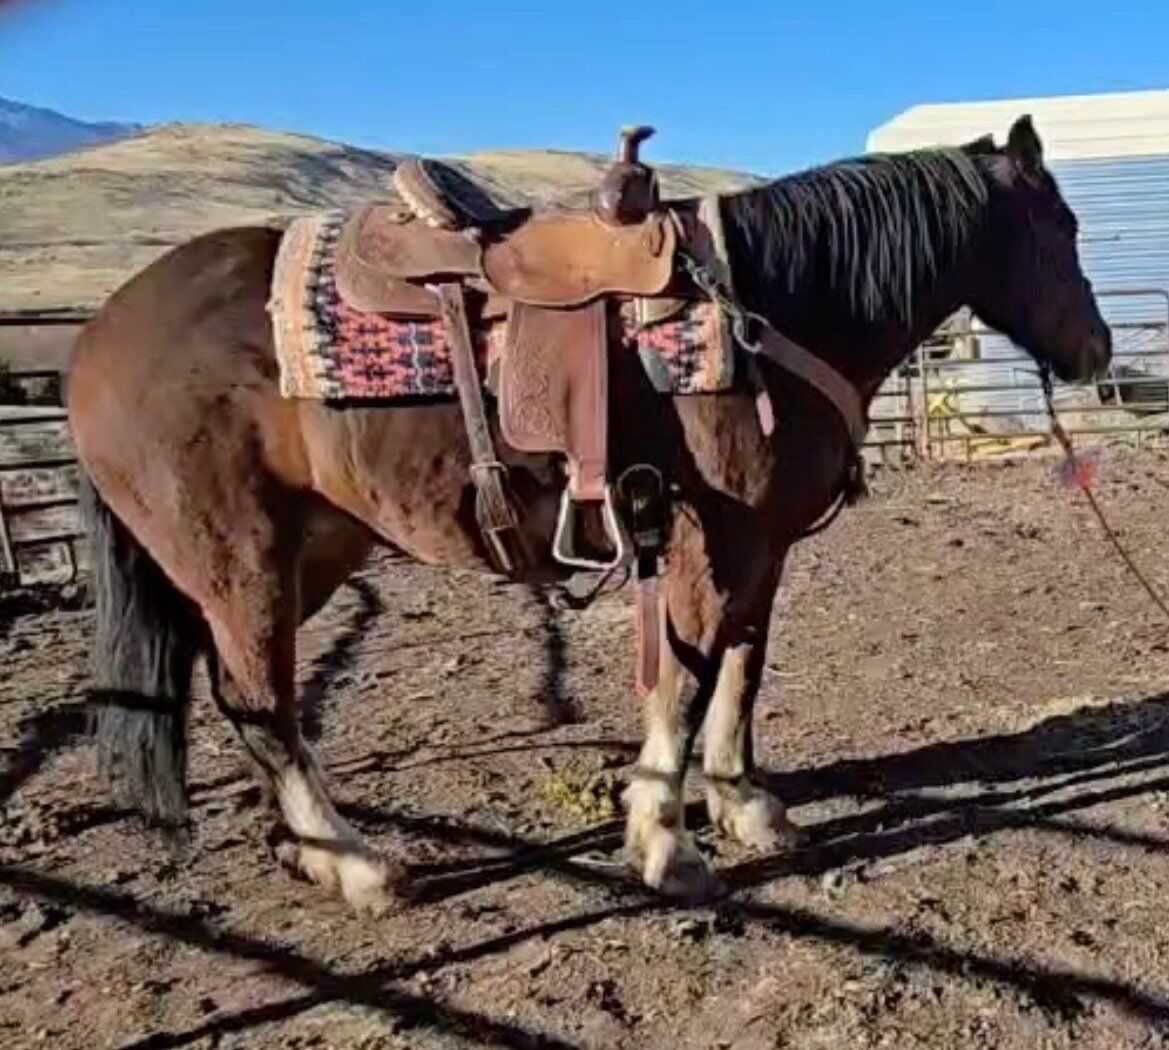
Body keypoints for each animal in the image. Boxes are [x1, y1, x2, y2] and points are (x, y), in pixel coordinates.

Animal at [67, 116, 1110, 912]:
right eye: (1059, 226)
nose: (1098, 352)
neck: (767, 312)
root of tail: (97, 335)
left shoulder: (763, 546)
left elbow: (741, 670)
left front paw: (743, 806)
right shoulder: (708, 539)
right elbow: (685, 683)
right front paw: (665, 845)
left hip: (298, 557)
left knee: (242, 698)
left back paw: (307, 853)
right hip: (238, 562)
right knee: (261, 704)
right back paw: (358, 864)